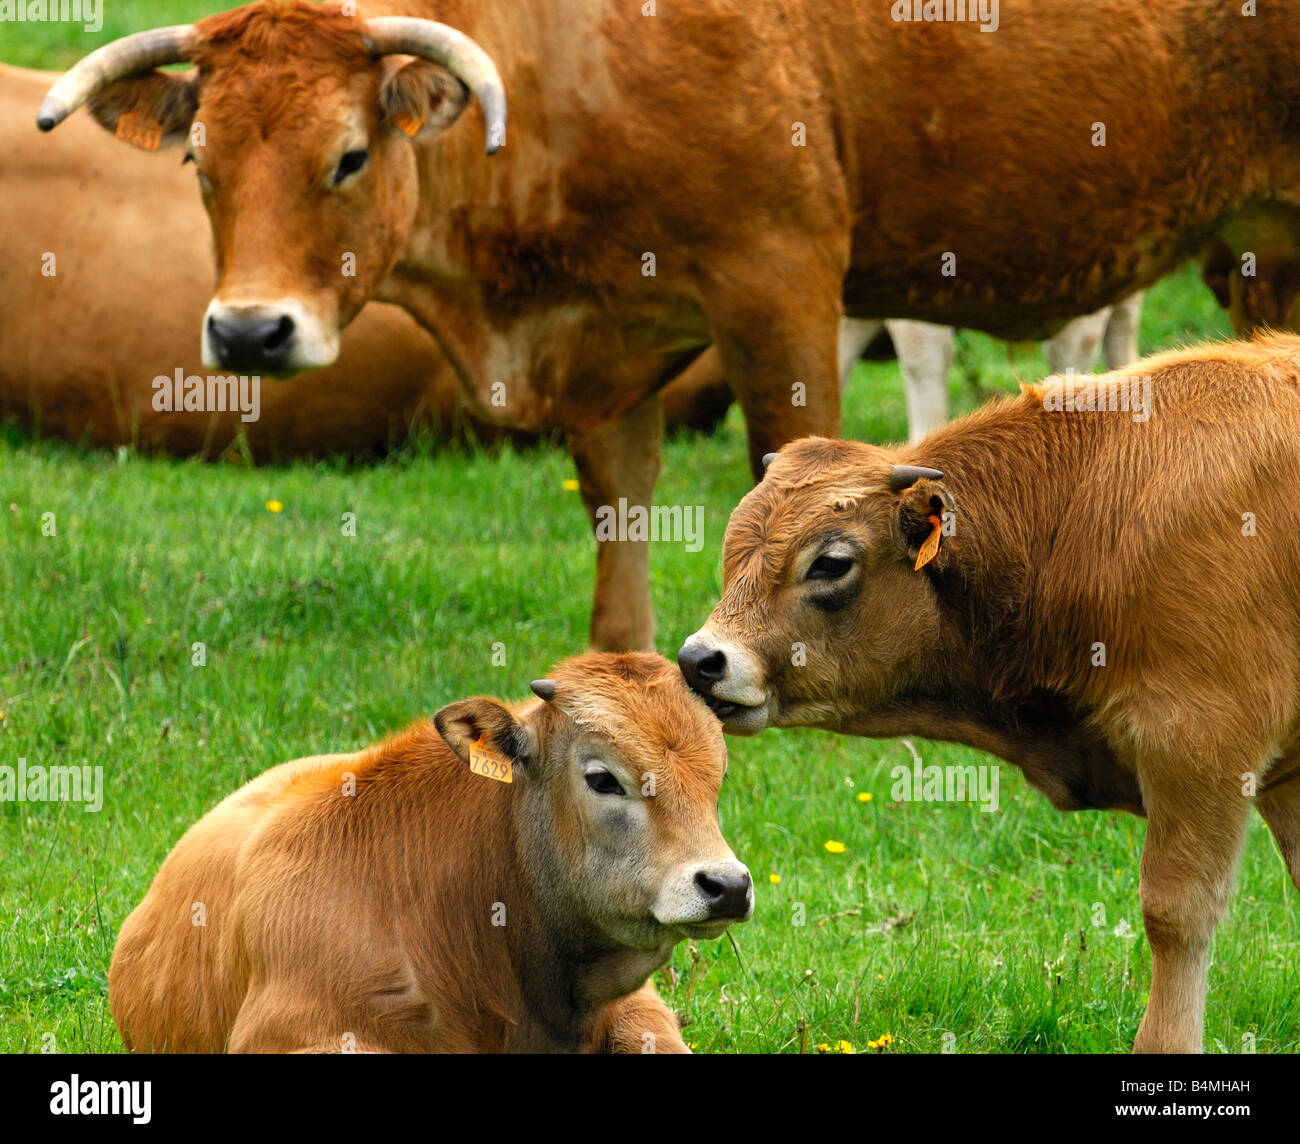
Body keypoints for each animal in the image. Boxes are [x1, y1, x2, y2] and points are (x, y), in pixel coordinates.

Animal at [38, 1, 1300, 650]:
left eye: (349, 156)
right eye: (200, 162)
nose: (250, 335)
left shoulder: (778, 276)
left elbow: (791, 464)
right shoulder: (611, 345)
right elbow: (618, 512)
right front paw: (624, 661)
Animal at [678, 331, 1300, 1054]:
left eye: (830, 563)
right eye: (733, 549)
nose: (699, 660)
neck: (1090, 507)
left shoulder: (1198, 749)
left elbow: (1176, 916)